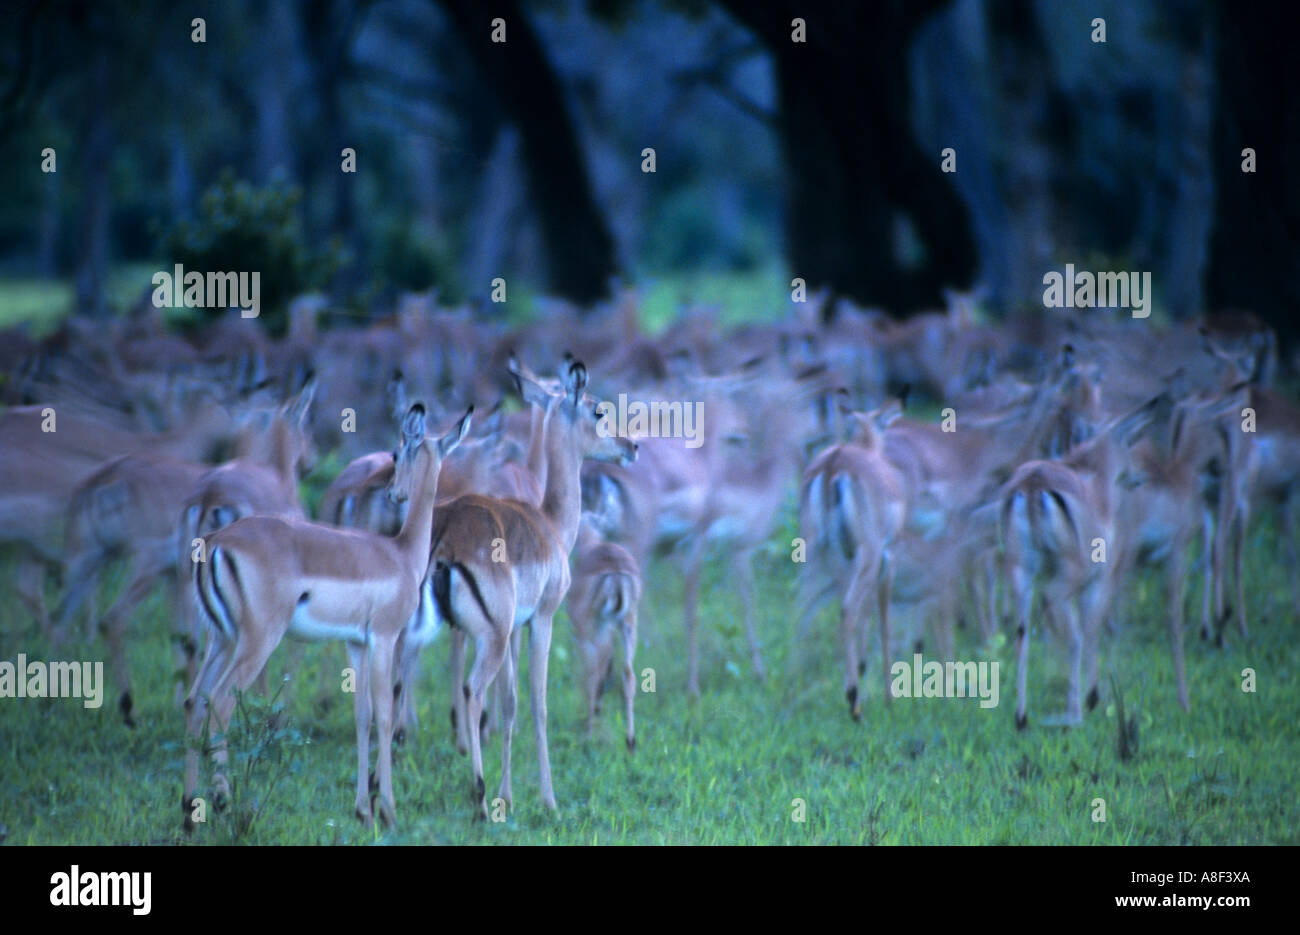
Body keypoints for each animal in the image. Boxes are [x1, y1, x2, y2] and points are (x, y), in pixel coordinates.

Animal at [183, 403, 472, 829]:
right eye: (395, 452)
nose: (395, 492)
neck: (401, 553)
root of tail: (216, 541)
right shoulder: (385, 637)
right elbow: (385, 714)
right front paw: (387, 811)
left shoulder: (357, 643)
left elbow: (362, 715)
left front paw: (363, 810)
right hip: (257, 641)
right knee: (220, 702)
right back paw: (222, 801)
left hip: (222, 639)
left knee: (195, 700)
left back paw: (189, 809)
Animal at [425, 358, 635, 818]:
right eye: (598, 410)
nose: (631, 446)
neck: (550, 522)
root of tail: (449, 543)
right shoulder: (541, 619)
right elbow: (538, 703)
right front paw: (548, 798)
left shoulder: (517, 629)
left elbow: (510, 705)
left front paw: (509, 793)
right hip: (492, 638)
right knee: (472, 691)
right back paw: (479, 796)